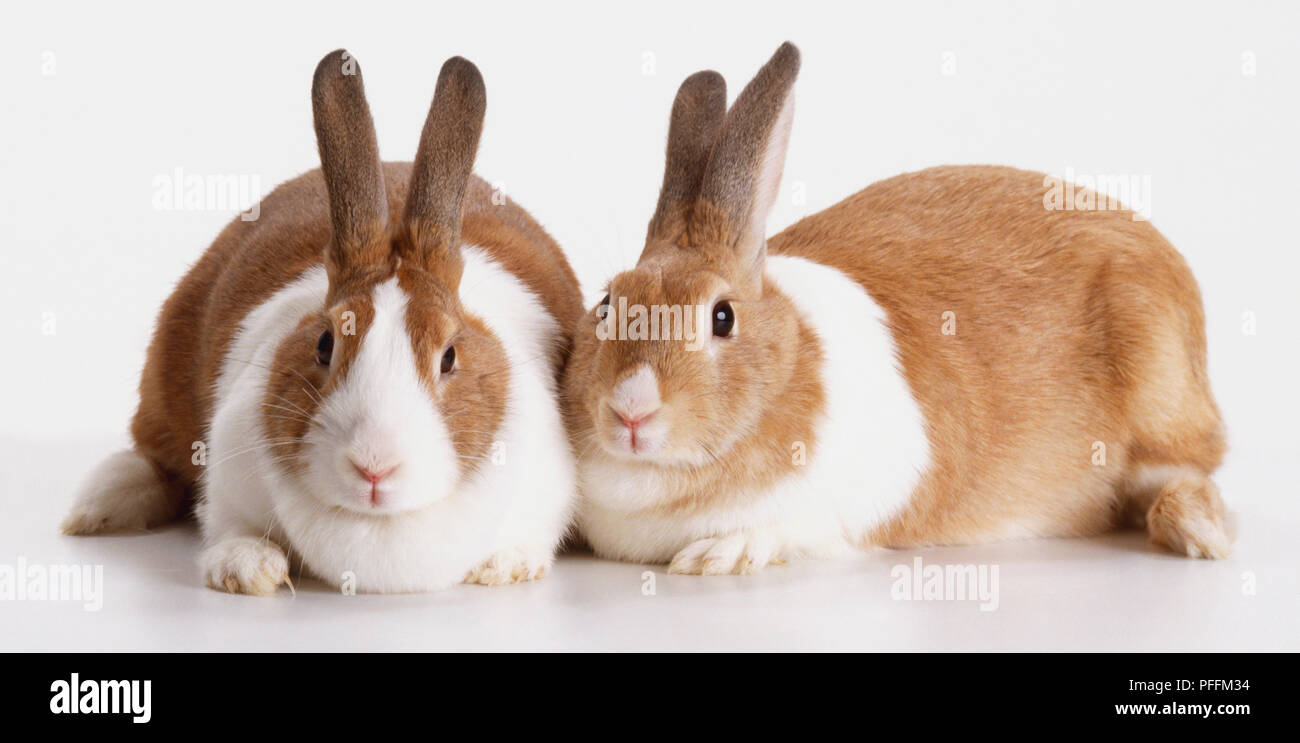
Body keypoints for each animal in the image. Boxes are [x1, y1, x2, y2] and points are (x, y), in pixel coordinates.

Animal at [61, 50, 583, 594]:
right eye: (324, 344)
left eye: (449, 357)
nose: (374, 466)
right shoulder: (228, 477)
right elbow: (229, 526)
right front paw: (247, 569)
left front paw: (505, 567)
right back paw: (97, 507)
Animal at [563, 42, 1230, 575]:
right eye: (607, 303)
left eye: (721, 318)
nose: (631, 410)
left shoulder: (836, 515)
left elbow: (784, 528)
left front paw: (715, 555)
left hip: (1160, 392)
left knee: (1184, 471)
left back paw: (1202, 534)